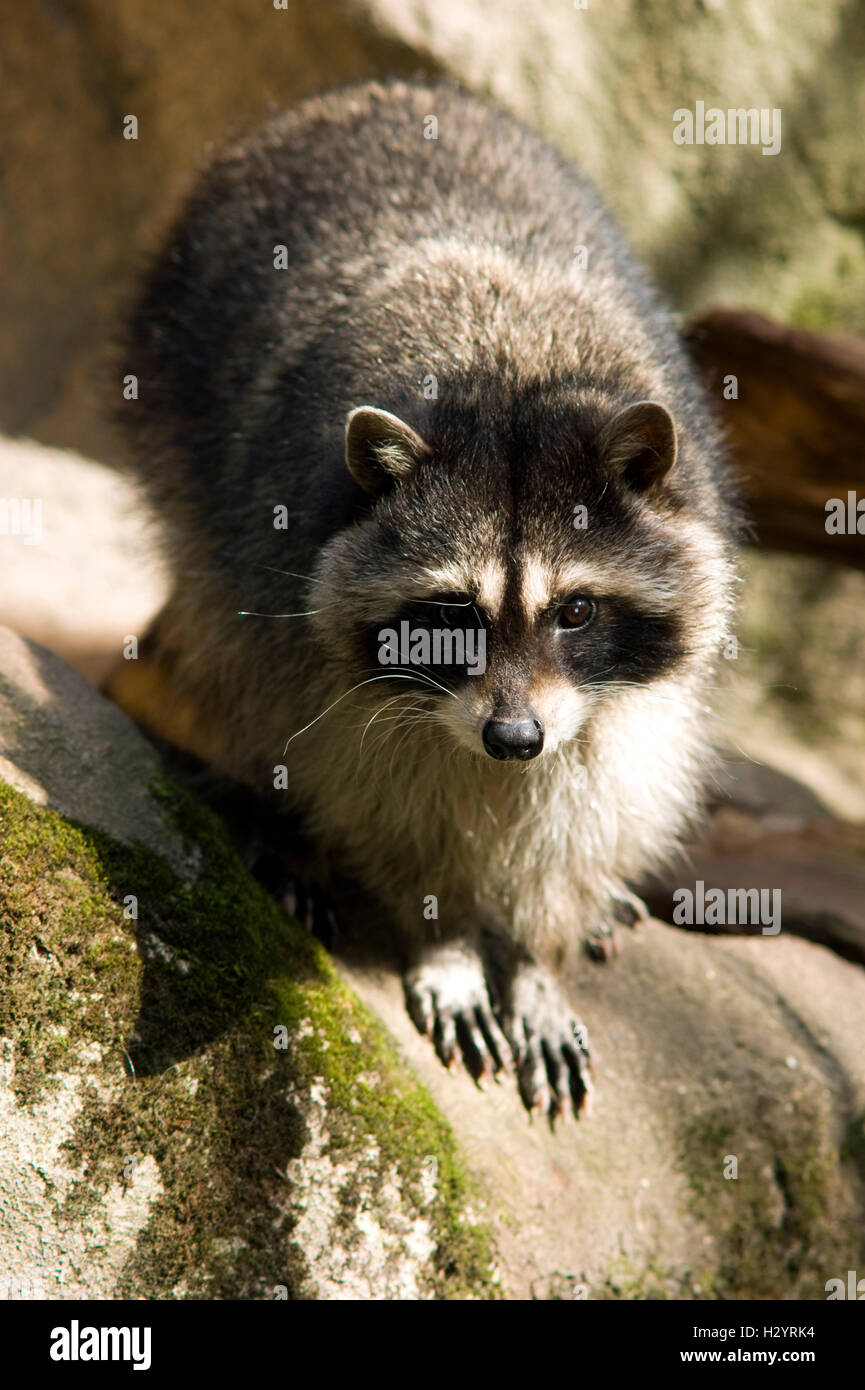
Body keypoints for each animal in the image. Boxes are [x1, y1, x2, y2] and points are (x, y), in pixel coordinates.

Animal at [111, 79, 738, 1118]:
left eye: (575, 612)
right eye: (453, 614)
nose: (511, 739)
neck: (512, 376)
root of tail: (370, 92)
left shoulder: (622, 691)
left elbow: (594, 796)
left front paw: (534, 952)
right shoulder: (283, 569)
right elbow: (371, 782)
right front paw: (440, 931)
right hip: (180, 420)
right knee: (219, 644)